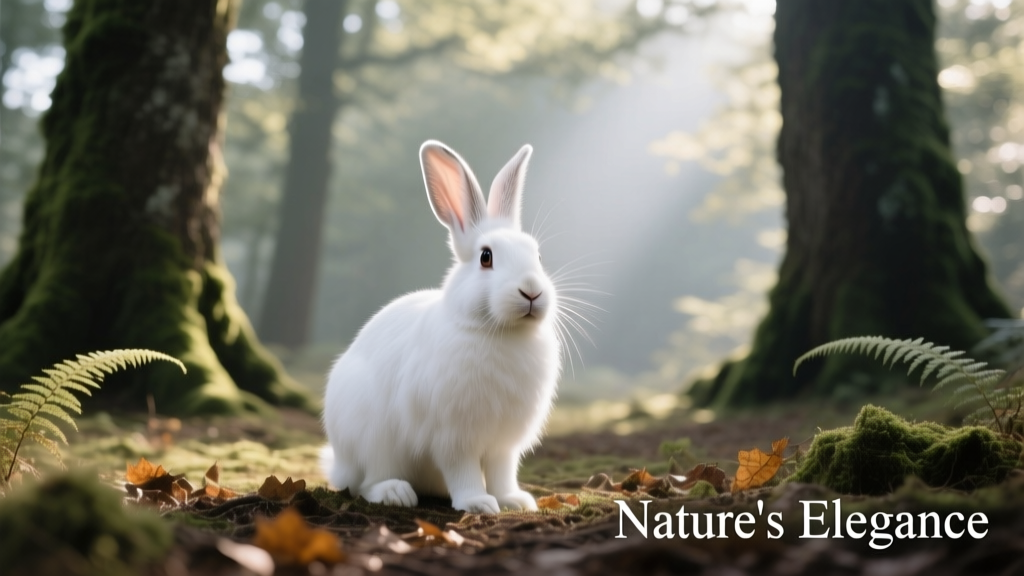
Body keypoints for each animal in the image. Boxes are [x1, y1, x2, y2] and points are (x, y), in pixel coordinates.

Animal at [320, 140, 560, 514]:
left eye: (537, 256)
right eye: (486, 257)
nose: (531, 291)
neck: (497, 332)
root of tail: (340, 464)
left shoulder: (503, 444)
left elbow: (502, 472)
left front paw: (514, 501)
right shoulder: (453, 436)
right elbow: (463, 470)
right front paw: (478, 503)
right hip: (373, 439)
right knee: (365, 483)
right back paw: (395, 493)